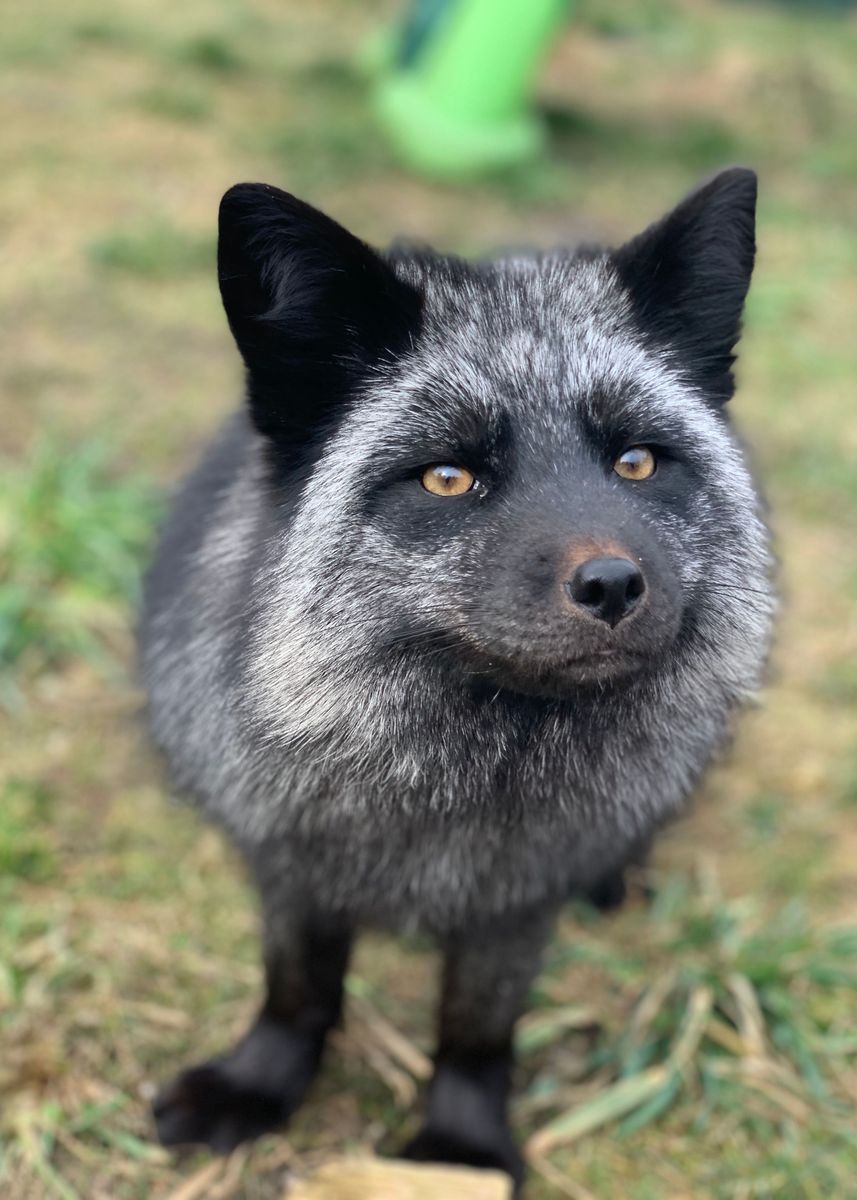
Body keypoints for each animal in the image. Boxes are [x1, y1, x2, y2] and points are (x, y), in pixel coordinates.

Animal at [139, 168, 774, 1192]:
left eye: (636, 461)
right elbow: (295, 991)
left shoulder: (513, 902)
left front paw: (461, 1148)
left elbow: (477, 1031)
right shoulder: (288, 856)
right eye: (446, 478)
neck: (449, 783)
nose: (612, 584)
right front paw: (260, 1087)